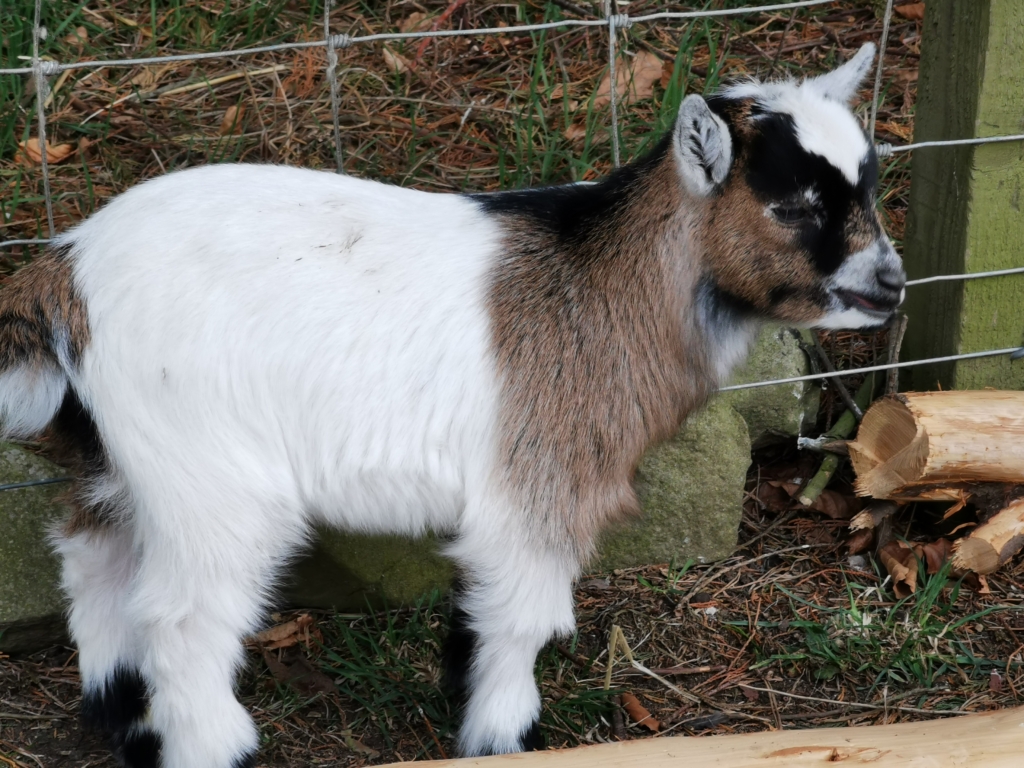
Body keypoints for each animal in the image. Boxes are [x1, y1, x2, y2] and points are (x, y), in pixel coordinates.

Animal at [0, 43, 902, 768]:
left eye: (867, 185)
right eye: (793, 205)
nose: (891, 282)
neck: (602, 284)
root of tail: (65, 269)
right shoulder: (537, 483)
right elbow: (525, 616)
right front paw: (502, 734)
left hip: (119, 460)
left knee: (92, 559)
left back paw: (121, 716)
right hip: (210, 475)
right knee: (182, 617)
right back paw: (214, 745)